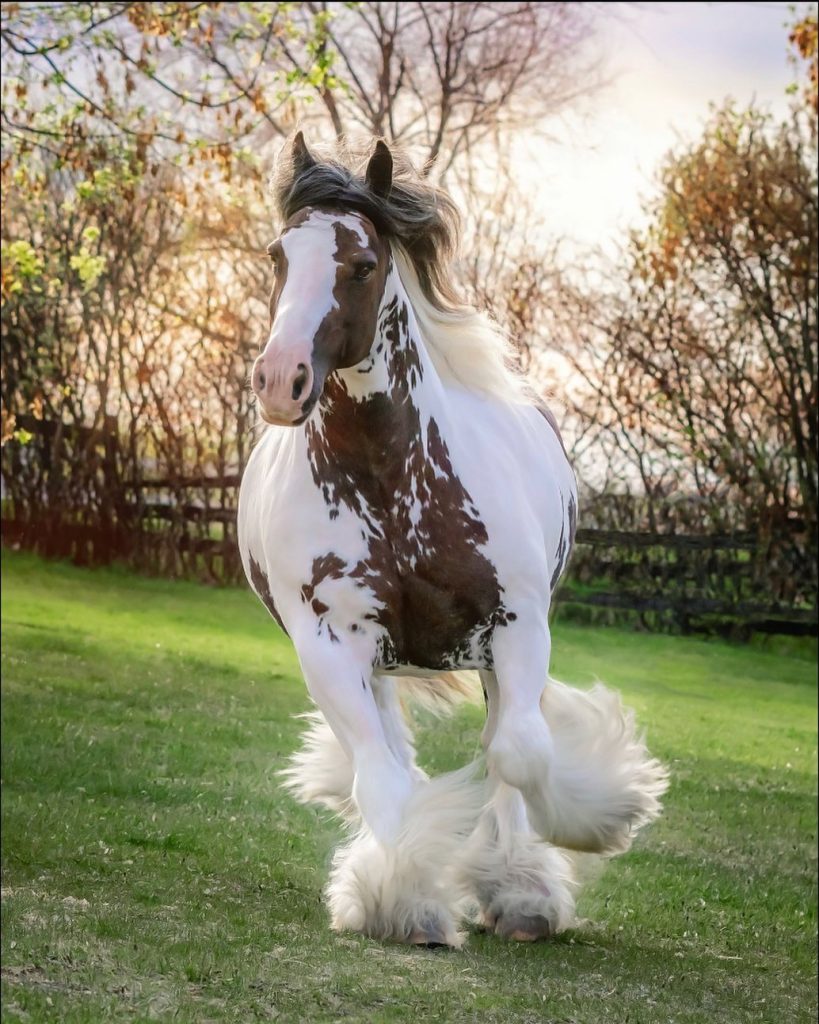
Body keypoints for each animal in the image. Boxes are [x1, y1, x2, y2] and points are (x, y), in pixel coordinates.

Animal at [238, 133, 668, 948]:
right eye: (280, 255)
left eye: (361, 264)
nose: (282, 379)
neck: (391, 479)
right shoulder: (328, 644)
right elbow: (382, 780)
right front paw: (400, 899)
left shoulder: (515, 625)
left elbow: (519, 754)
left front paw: (581, 833)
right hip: (372, 664)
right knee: (390, 755)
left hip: (497, 653)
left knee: (506, 745)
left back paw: (520, 889)